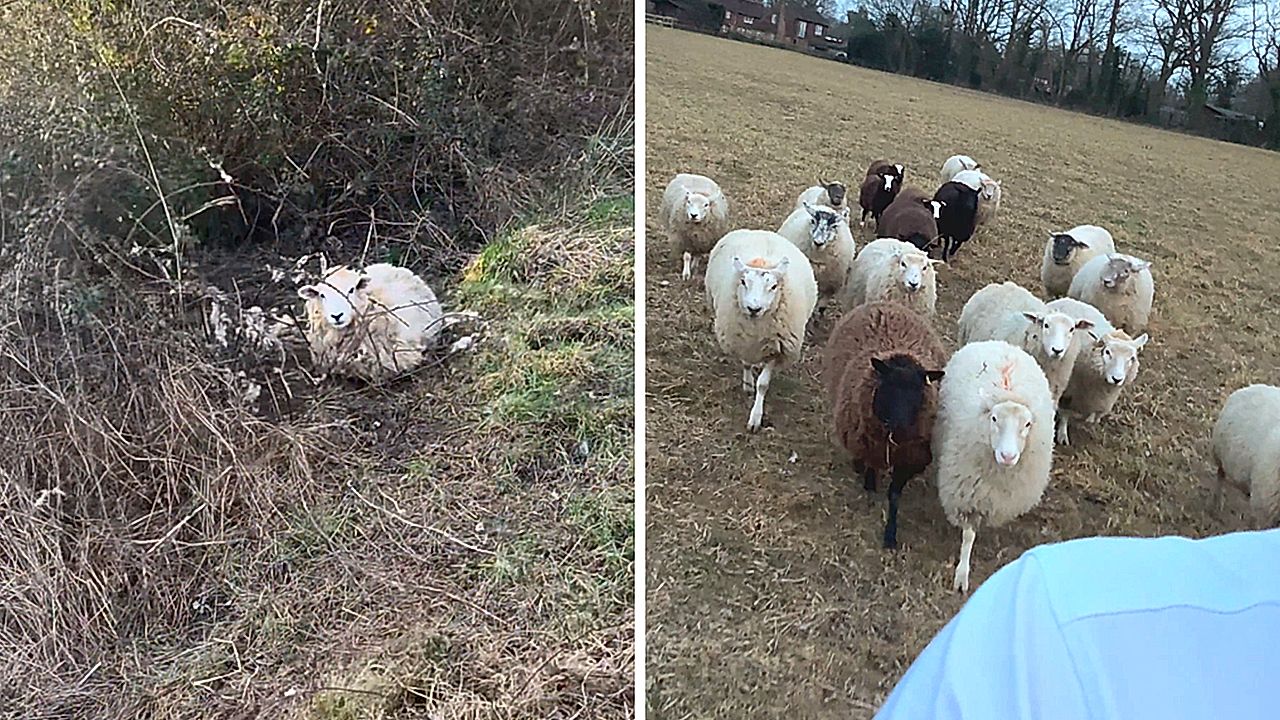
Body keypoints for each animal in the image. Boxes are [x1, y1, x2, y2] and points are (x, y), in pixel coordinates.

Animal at [705, 229, 818, 432]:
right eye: (743, 281)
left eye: (773, 286)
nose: (753, 308)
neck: (755, 329)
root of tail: (761, 231)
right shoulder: (742, 342)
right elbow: (746, 364)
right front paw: (748, 384)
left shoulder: (777, 349)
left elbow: (763, 385)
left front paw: (755, 418)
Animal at [822, 302, 947, 548]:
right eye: (888, 386)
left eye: (917, 392)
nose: (899, 424)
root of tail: (885, 304)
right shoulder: (868, 444)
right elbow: (871, 469)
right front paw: (869, 487)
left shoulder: (911, 458)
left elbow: (895, 495)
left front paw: (890, 534)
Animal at [933, 340, 1056, 593]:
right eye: (994, 418)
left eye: (1027, 424)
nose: (1007, 456)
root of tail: (1002, 344)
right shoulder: (966, 495)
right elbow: (968, 537)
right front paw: (962, 574)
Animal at [1044, 297, 1149, 446]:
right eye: (1107, 352)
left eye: (1132, 358)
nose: (1117, 379)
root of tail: (1068, 299)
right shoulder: (1069, 389)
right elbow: (1065, 413)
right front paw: (1062, 434)